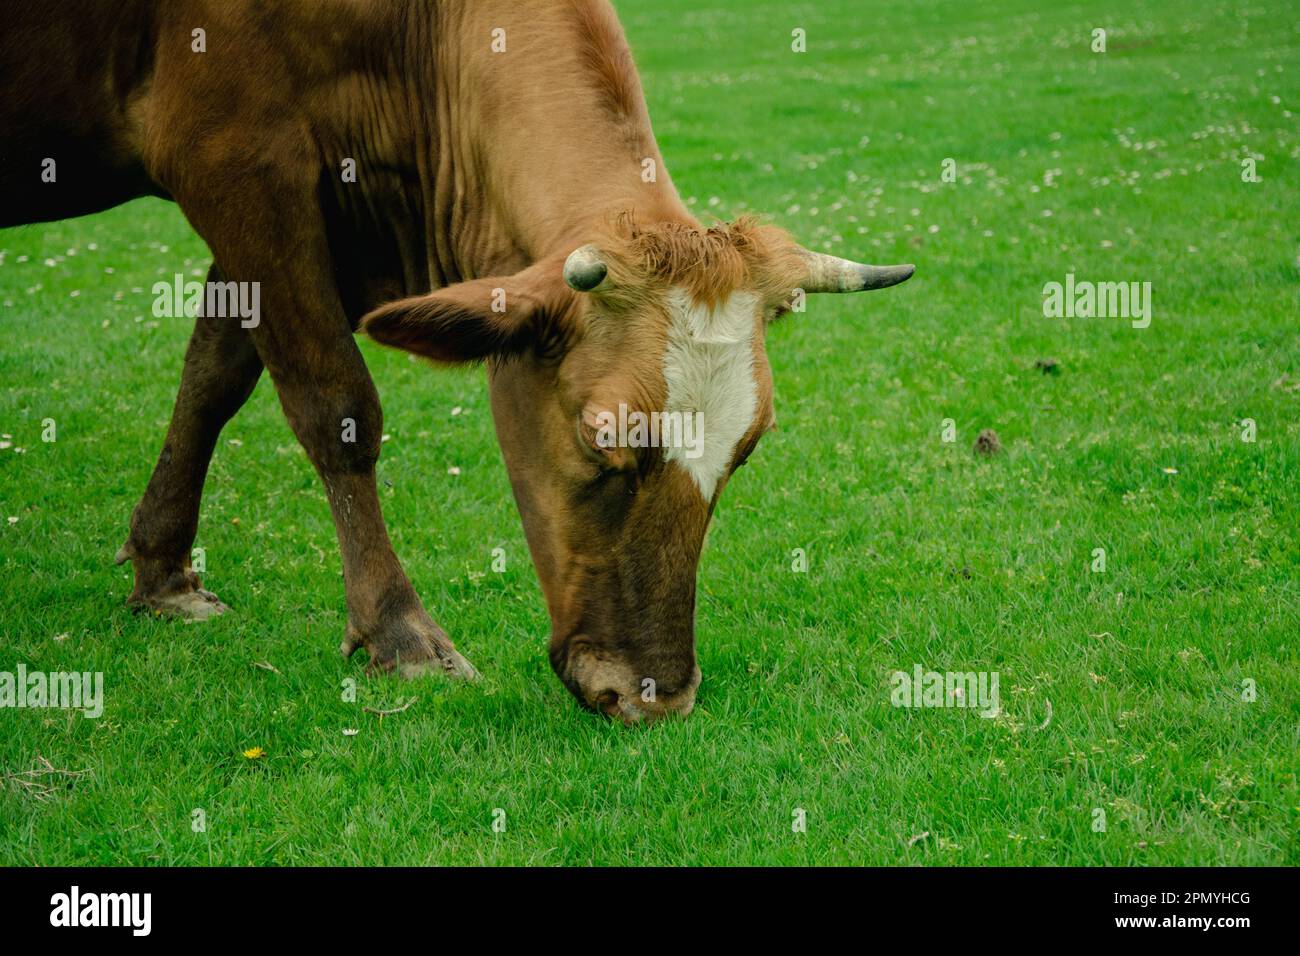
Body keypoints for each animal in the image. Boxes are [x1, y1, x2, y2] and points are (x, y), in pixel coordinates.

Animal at [0, 0, 913, 723]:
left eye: (746, 447)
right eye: (604, 440)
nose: (653, 696)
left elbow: (213, 379)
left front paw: (162, 573)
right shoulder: (233, 159)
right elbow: (334, 403)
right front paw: (399, 634)